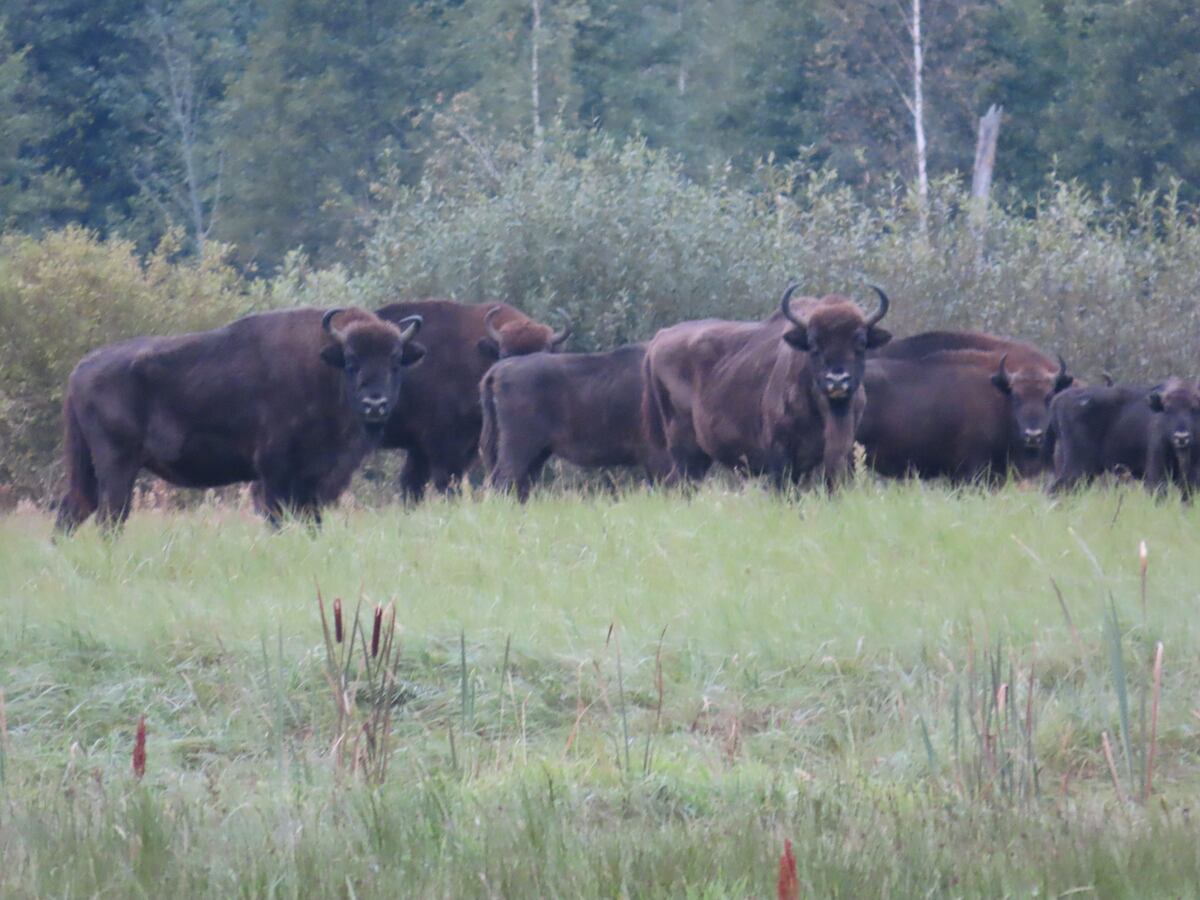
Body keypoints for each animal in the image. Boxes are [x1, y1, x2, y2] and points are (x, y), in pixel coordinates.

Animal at [56, 306, 424, 530]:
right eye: (351, 361)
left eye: (396, 360)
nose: (374, 404)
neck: (323, 367)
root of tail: (80, 369)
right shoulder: (274, 471)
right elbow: (277, 515)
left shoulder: (313, 480)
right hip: (117, 464)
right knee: (110, 515)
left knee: (75, 508)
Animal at [374, 300, 570, 500]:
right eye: (505, 354)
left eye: (544, 354)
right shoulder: (442, 445)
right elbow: (444, 482)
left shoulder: (429, 447)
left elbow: (413, 484)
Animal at [642, 284, 892, 488]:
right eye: (813, 343)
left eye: (860, 341)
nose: (837, 380)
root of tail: (659, 339)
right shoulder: (780, 453)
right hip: (685, 450)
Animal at [1045, 377, 1200, 497]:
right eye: (1167, 409)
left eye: (1194, 409)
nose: (1181, 437)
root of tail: (1058, 400)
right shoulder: (1157, 472)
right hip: (1077, 466)